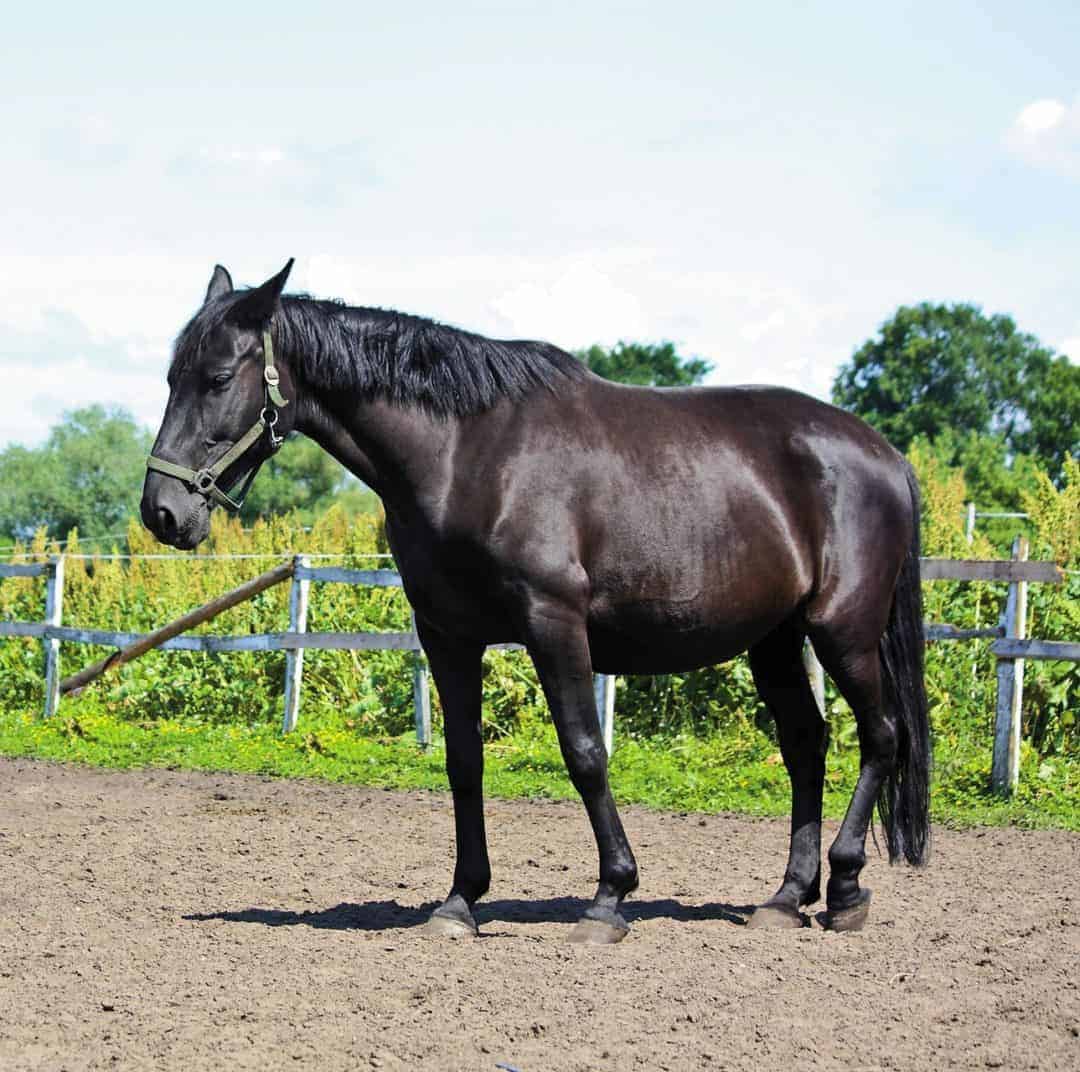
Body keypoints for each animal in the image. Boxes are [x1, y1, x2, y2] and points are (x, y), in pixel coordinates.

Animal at [141, 260, 931, 943]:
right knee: (806, 743)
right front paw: (459, 902)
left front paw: (610, 897)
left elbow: (585, 753)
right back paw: (787, 897)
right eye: (171, 376)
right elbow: (463, 761)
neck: (468, 453)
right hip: (773, 640)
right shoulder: (447, 636)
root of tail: (884, 454)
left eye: (218, 378)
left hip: (843, 631)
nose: (162, 513)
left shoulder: (555, 626)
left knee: (881, 736)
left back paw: (846, 888)